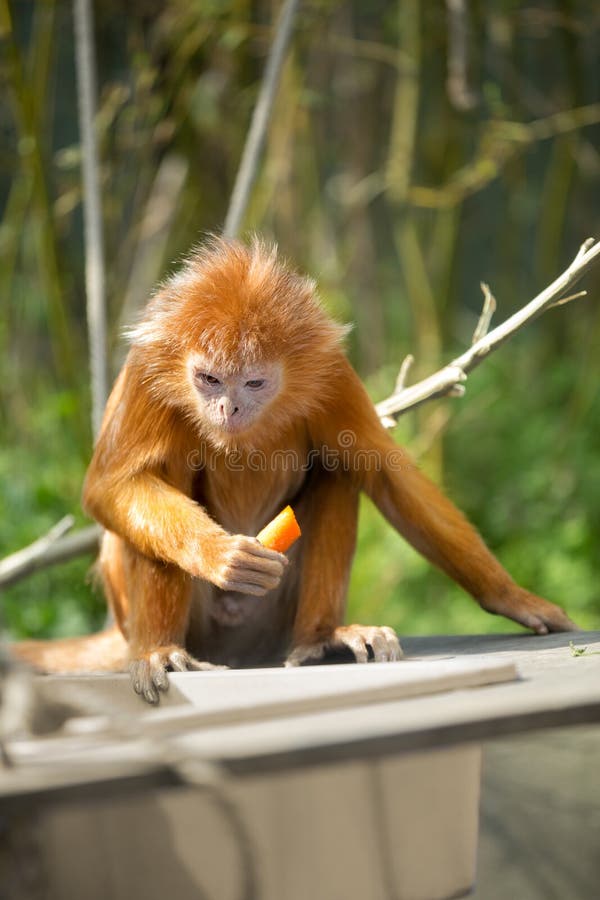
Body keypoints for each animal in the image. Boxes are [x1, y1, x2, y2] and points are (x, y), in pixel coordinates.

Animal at [13, 237, 576, 703]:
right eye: (209, 379)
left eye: (254, 383)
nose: (228, 409)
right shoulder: (147, 370)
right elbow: (112, 486)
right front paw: (220, 555)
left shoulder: (330, 372)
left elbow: (385, 474)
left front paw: (512, 597)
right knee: (157, 484)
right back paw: (161, 653)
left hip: (269, 624)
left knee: (338, 472)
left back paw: (323, 640)